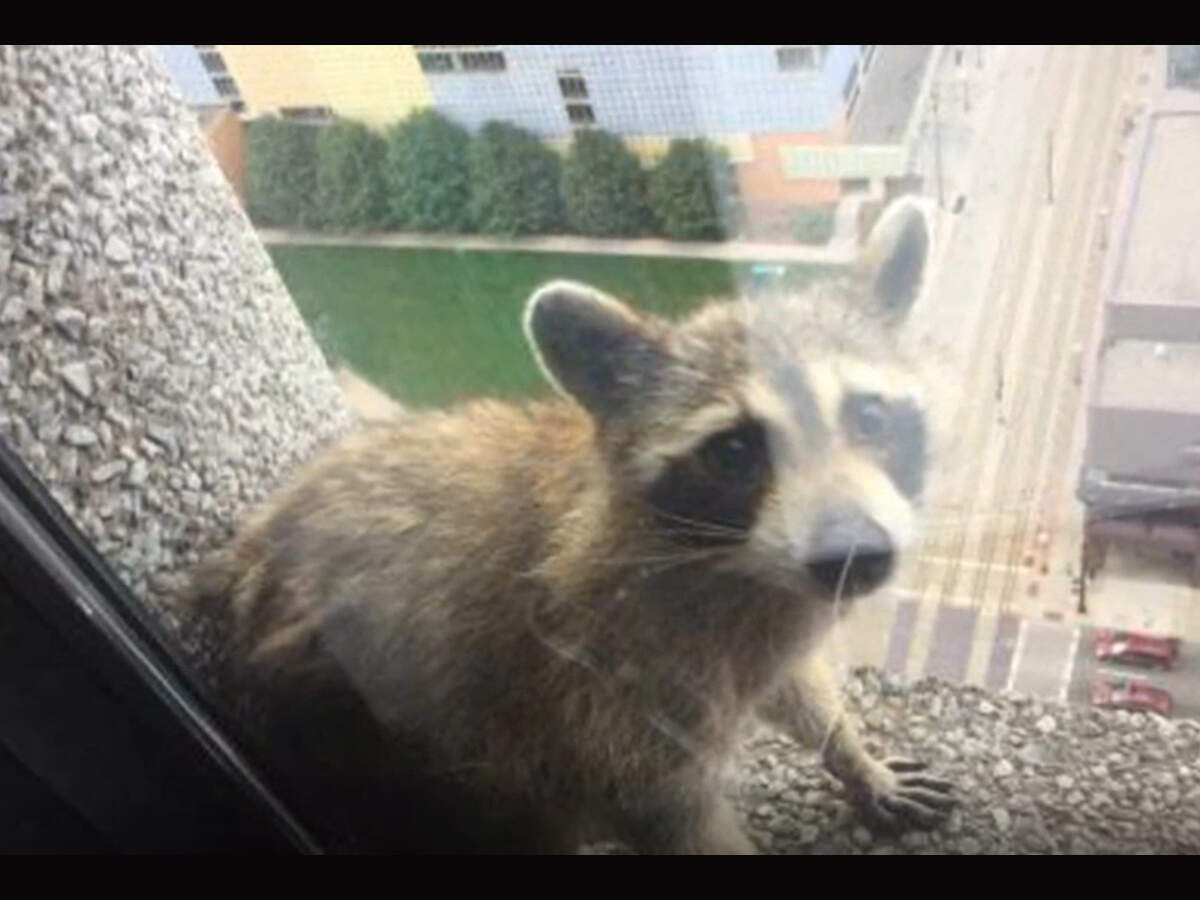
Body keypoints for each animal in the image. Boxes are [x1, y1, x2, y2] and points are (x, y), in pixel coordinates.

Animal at [191, 198, 955, 854]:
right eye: (736, 453)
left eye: (869, 416)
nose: (854, 556)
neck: (732, 563)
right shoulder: (608, 684)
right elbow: (670, 816)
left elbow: (794, 683)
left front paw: (849, 751)